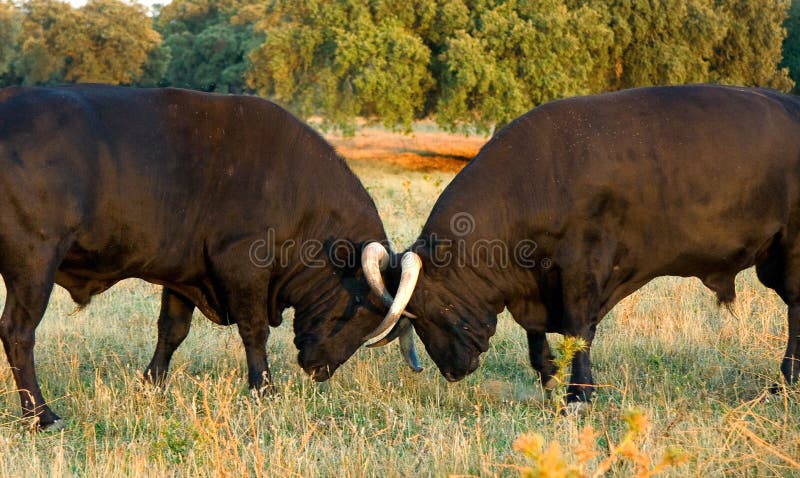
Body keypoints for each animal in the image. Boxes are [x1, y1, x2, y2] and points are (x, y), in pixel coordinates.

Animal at [0, 84, 418, 430]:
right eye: (361, 310)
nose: (320, 369)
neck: (299, 196)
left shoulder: (181, 275)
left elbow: (171, 331)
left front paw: (151, 385)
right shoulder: (243, 269)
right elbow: (254, 331)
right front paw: (264, 389)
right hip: (35, 266)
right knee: (18, 332)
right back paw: (42, 415)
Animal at [362, 84, 800, 409]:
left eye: (424, 311)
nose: (452, 371)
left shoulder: (582, 267)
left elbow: (578, 328)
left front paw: (580, 394)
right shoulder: (534, 283)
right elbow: (536, 336)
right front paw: (549, 378)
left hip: (791, 250)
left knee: (796, 309)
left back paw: (786, 382)